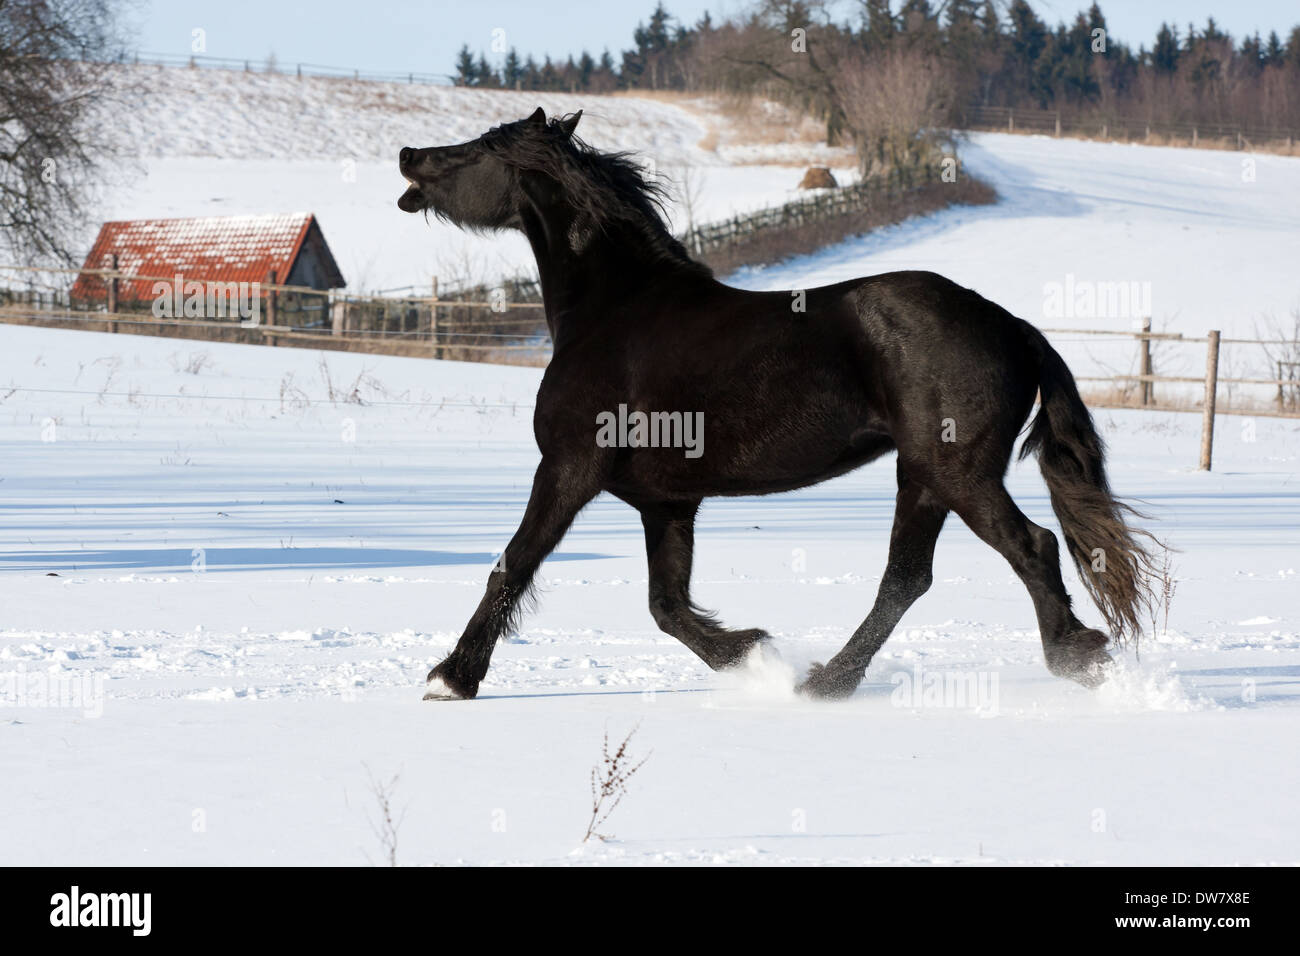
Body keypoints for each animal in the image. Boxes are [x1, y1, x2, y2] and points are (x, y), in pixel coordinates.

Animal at [397, 107, 1155, 702]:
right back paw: (826, 682)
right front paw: (750, 652)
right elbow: (666, 605)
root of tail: (1009, 324)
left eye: (481, 147)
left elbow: (514, 563)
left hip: (958, 473)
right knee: (907, 577)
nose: (408, 157)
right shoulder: (667, 502)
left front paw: (450, 678)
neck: (615, 312)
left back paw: (1076, 657)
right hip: (923, 477)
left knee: (1030, 547)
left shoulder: (568, 469)